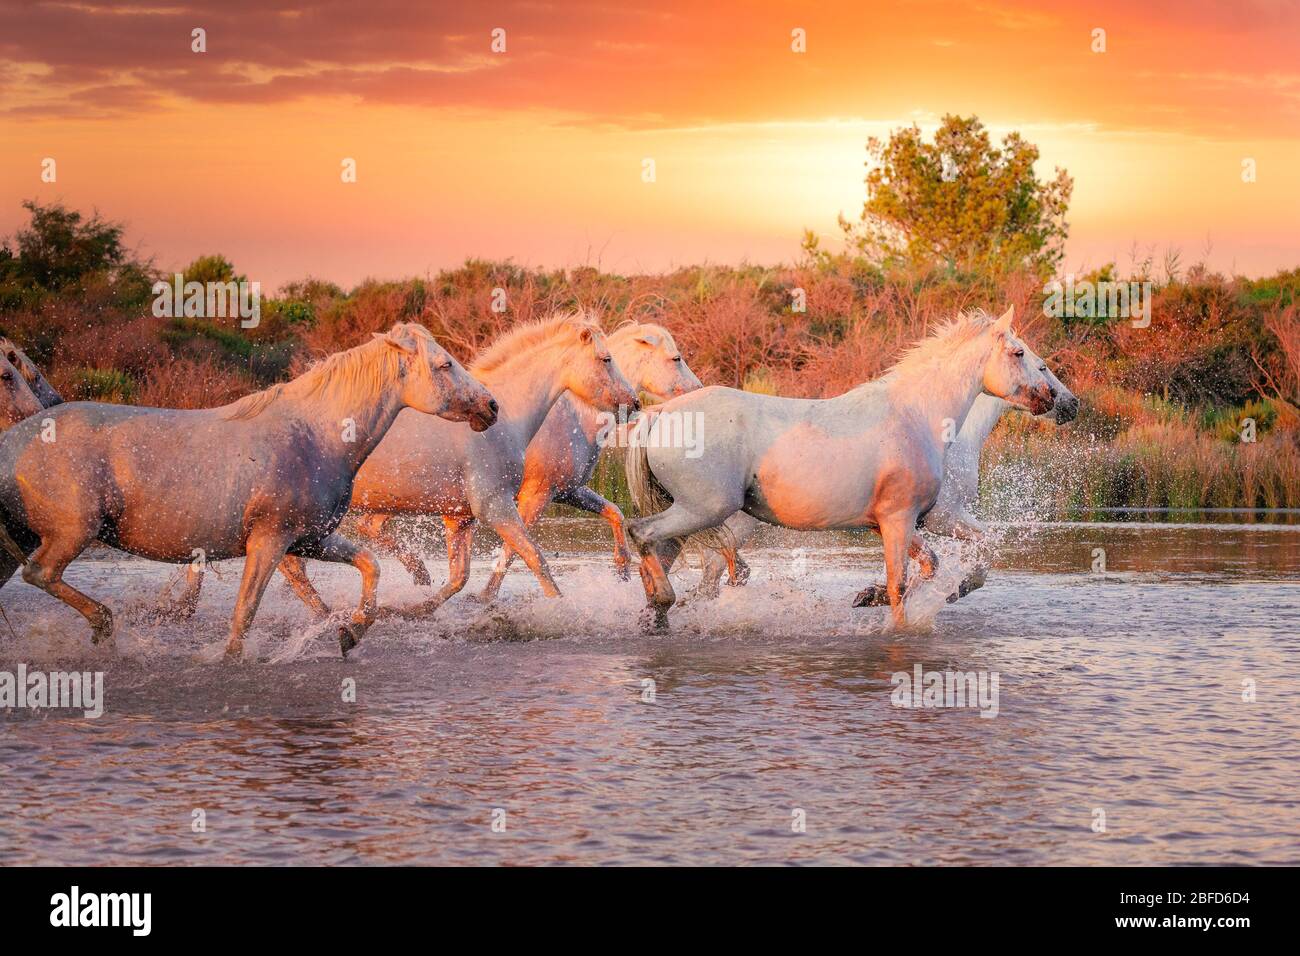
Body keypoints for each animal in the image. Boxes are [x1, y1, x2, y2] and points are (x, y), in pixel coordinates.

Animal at [0, 323, 498, 658]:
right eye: (445, 364)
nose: (491, 406)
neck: (315, 435)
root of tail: (13, 442)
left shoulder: (309, 540)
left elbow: (369, 564)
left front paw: (350, 633)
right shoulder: (269, 541)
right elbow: (244, 616)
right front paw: (230, 662)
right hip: (72, 533)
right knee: (40, 574)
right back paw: (105, 627)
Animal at [253, 312, 641, 618]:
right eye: (606, 359)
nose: (634, 402)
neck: (507, 420)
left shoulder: (461, 517)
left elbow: (459, 577)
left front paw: (412, 611)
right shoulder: (499, 506)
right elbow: (533, 557)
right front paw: (561, 608)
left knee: (297, 564)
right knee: (291, 567)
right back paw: (329, 617)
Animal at [623, 307, 1055, 629]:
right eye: (1020, 354)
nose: (1054, 399)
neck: (917, 415)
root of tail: (661, 413)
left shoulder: (895, 520)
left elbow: (927, 566)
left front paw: (870, 597)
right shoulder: (899, 517)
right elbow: (900, 585)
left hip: (691, 514)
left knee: (663, 552)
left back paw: (655, 614)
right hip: (705, 510)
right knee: (641, 533)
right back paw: (662, 601)